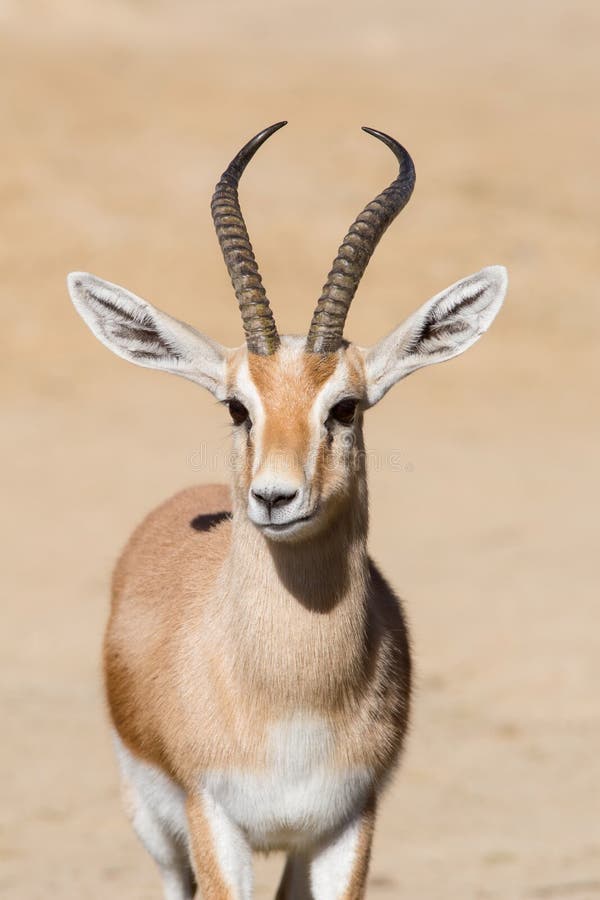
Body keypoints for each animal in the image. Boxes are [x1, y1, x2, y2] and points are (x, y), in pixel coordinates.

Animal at [68, 122, 507, 900]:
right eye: (237, 407)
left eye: (346, 407)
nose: (274, 497)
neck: (289, 695)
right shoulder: (213, 819)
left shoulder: (346, 822)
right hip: (156, 829)